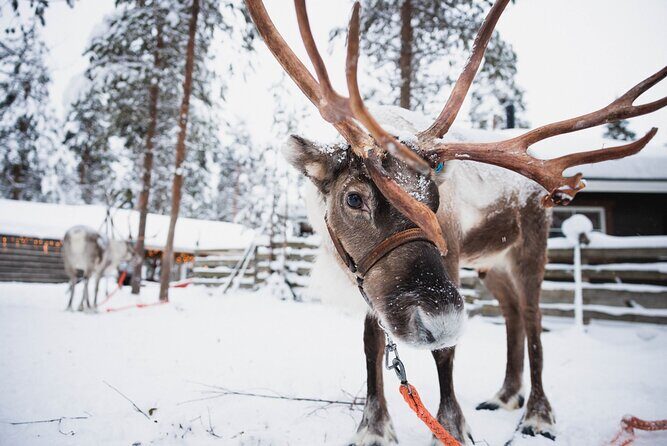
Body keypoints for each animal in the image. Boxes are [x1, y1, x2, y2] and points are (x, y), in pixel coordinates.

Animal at [245, 0, 666, 444]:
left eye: (434, 199)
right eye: (354, 197)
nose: (442, 320)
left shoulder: (448, 260)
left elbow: (445, 352)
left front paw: (450, 425)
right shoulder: (368, 279)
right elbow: (372, 343)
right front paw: (374, 426)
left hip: (529, 247)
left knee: (533, 317)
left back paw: (537, 415)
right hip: (490, 264)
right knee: (512, 313)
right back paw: (505, 395)